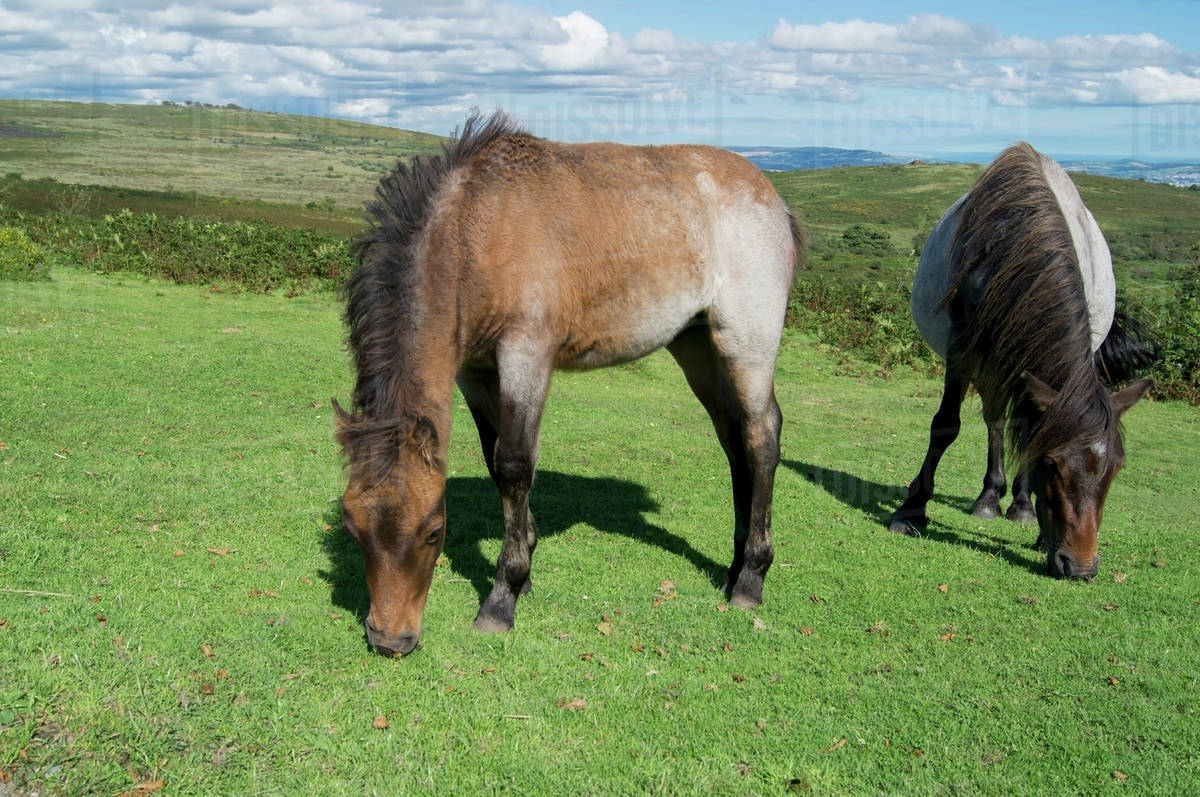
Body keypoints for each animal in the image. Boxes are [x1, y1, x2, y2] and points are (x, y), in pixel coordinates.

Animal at [333, 110, 803, 656]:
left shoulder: (526, 357)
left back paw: (750, 578)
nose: (389, 639)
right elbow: (496, 463)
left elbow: (514, 465)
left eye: (433, 531)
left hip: (746, 343)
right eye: (352, 526)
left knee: (761, 437)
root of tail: (771, 196)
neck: (478, 228)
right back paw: (731, 569)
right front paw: (525, 568)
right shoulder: (474, 373)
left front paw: (503, 596)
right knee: (734, 439)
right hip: (697, 348)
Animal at [888, 142, 1153, 580]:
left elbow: (1032, 427)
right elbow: (946, 426)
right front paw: (911, 510)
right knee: (995, 420)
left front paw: (1034, 520)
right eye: (1052, 465)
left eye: (1116, 469)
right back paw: (988, 498)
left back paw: (1014, 503)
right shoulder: (963, 351)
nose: (1080, 567)